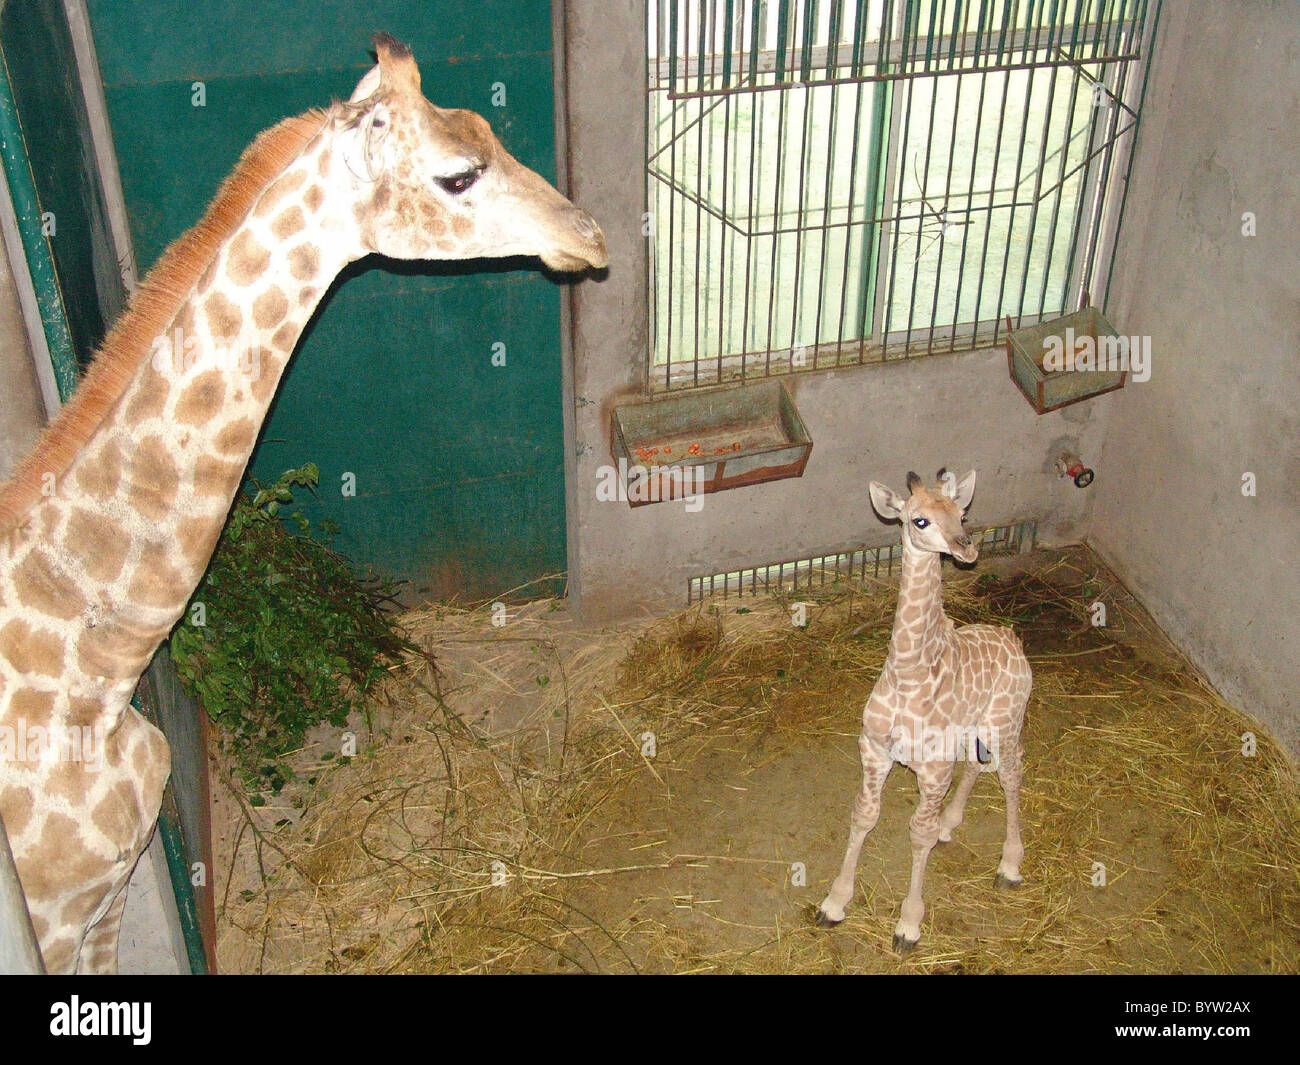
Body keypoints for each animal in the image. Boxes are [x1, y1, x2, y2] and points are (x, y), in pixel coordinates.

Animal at [0, 33, 606, 974]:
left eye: (488, 131)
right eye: (459, 174)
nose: (592, 237)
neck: (88, 675)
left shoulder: (107, 897)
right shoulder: (57, 919)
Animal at [816, 469, 1032, 953]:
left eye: (962, 513)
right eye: (919, 520)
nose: (967, 547)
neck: (907, 674)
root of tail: (1014, 639)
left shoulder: (932, 770)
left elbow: (918, 833)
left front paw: (908, 925)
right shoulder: (874, 750)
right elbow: (864, 815)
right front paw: (834, 903)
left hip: (1004, 722)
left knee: (1011, 775)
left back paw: (1009, 866)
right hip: (974, 730)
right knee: (977, 766)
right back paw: (952, 823)